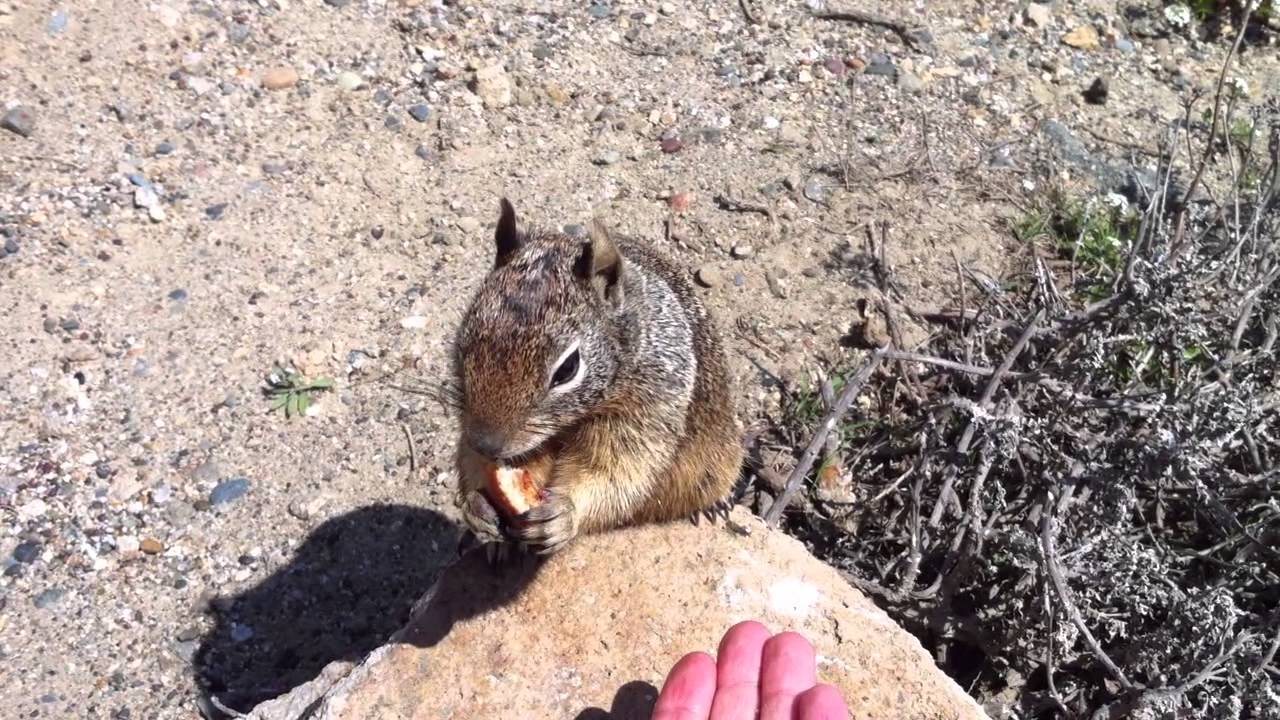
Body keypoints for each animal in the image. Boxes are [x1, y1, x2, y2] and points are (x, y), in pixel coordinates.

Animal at [450, 198, 743, 556]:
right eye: (465, 337)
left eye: (567, 369)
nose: (486, 444)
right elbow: (471, 462)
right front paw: (476, 506)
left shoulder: (645, 416)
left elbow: (615, 475)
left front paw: (565, 514)